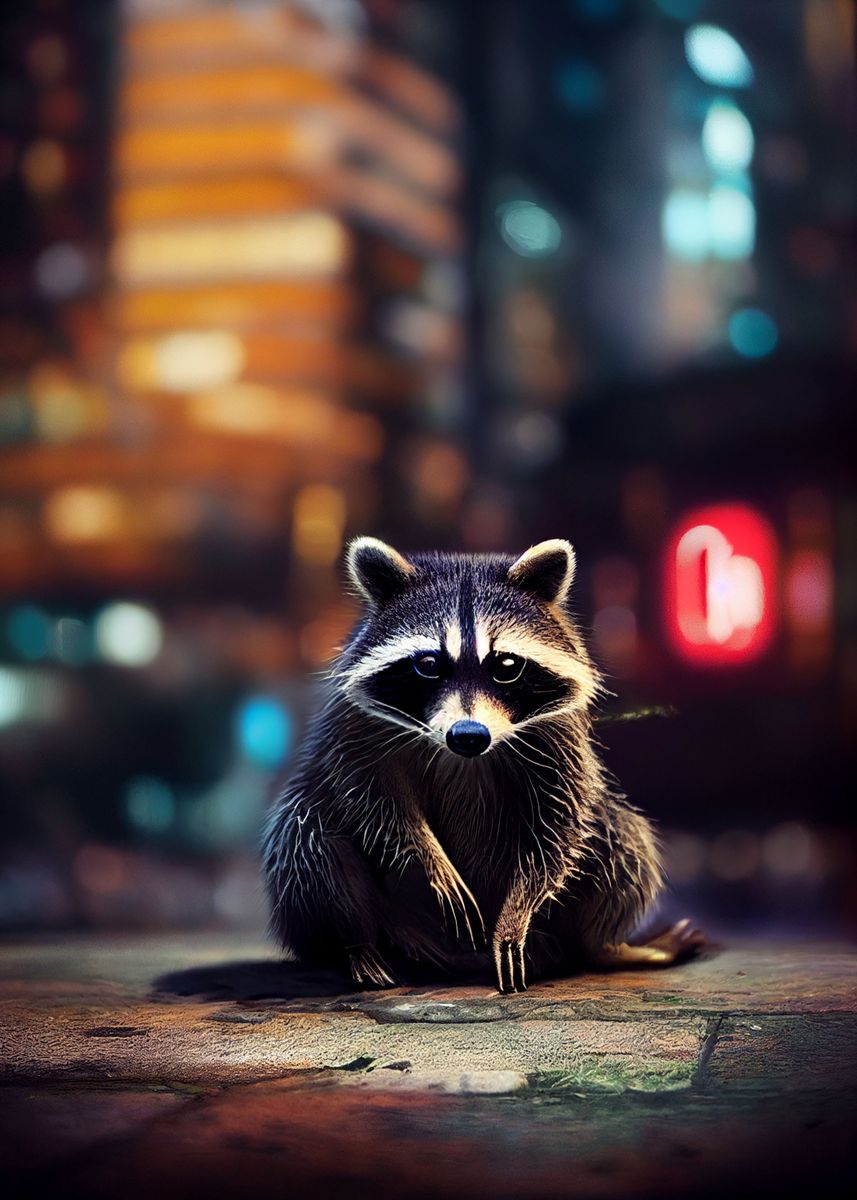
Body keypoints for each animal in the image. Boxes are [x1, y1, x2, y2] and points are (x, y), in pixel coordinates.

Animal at [263, 537, 700, 992]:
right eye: (429, 665)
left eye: (506, 666)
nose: (468, 735)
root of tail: (447, 956)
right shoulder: (354, 720)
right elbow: (371, 794)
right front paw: (427, 857)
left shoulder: (559, 731)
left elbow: (558, 820)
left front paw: (515, 915)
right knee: (306, 834)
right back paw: (356, 945)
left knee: (624, 833)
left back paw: (600, 946)